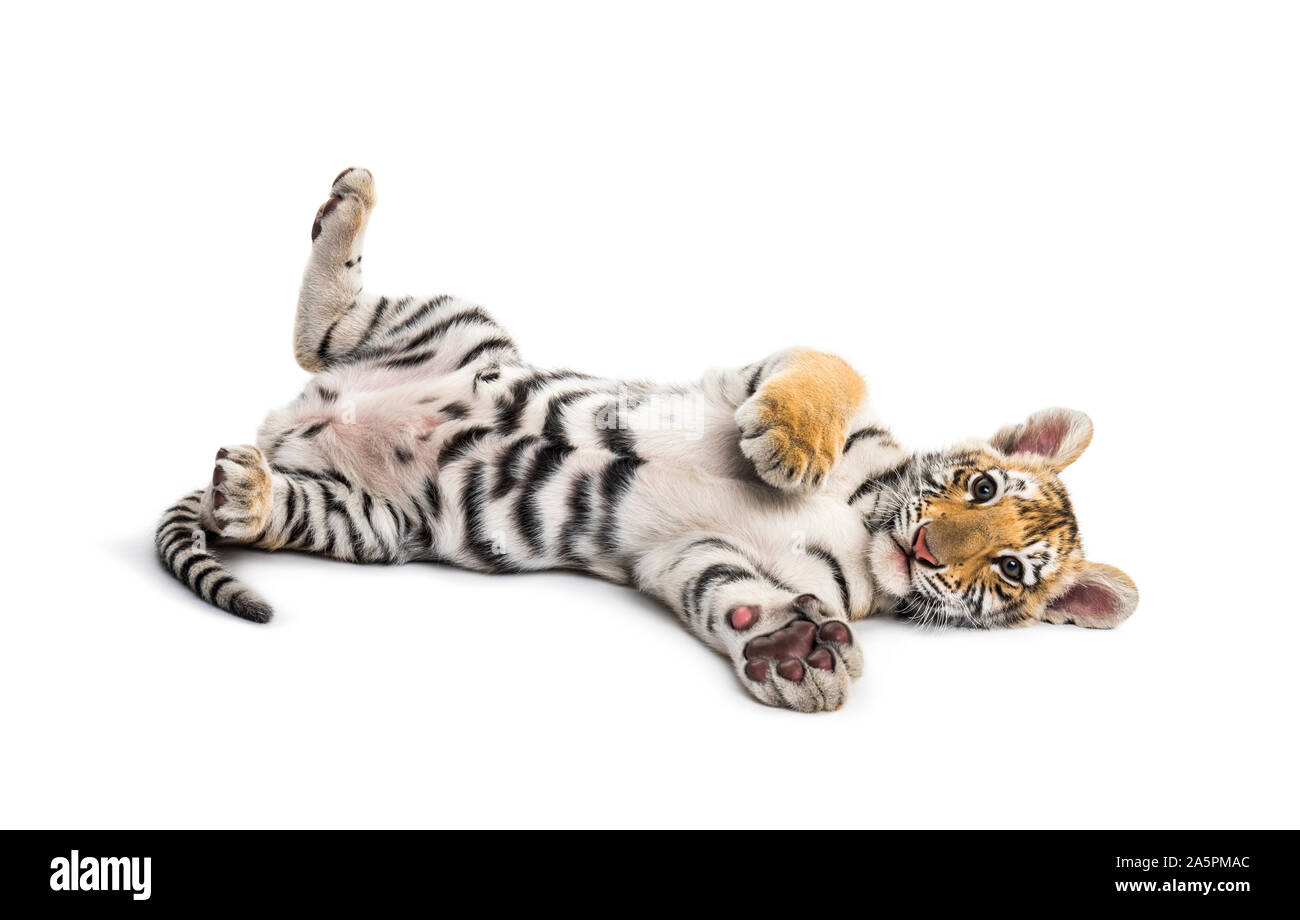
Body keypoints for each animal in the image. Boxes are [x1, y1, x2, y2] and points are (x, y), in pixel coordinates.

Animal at [155, 167, 1139, 713]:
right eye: (981, 490)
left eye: (1009, 570)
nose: (932, 547)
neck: (866, 524)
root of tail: (299, 420)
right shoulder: (766, 375)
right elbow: (830, 370)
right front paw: (789, 448)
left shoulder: (687, 553)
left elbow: (727, 593)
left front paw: (790, 655)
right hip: (459, 326)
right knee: (323, 327)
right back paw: (349, 198)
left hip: (373, 522)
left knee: (285, 490)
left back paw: (246, 494)